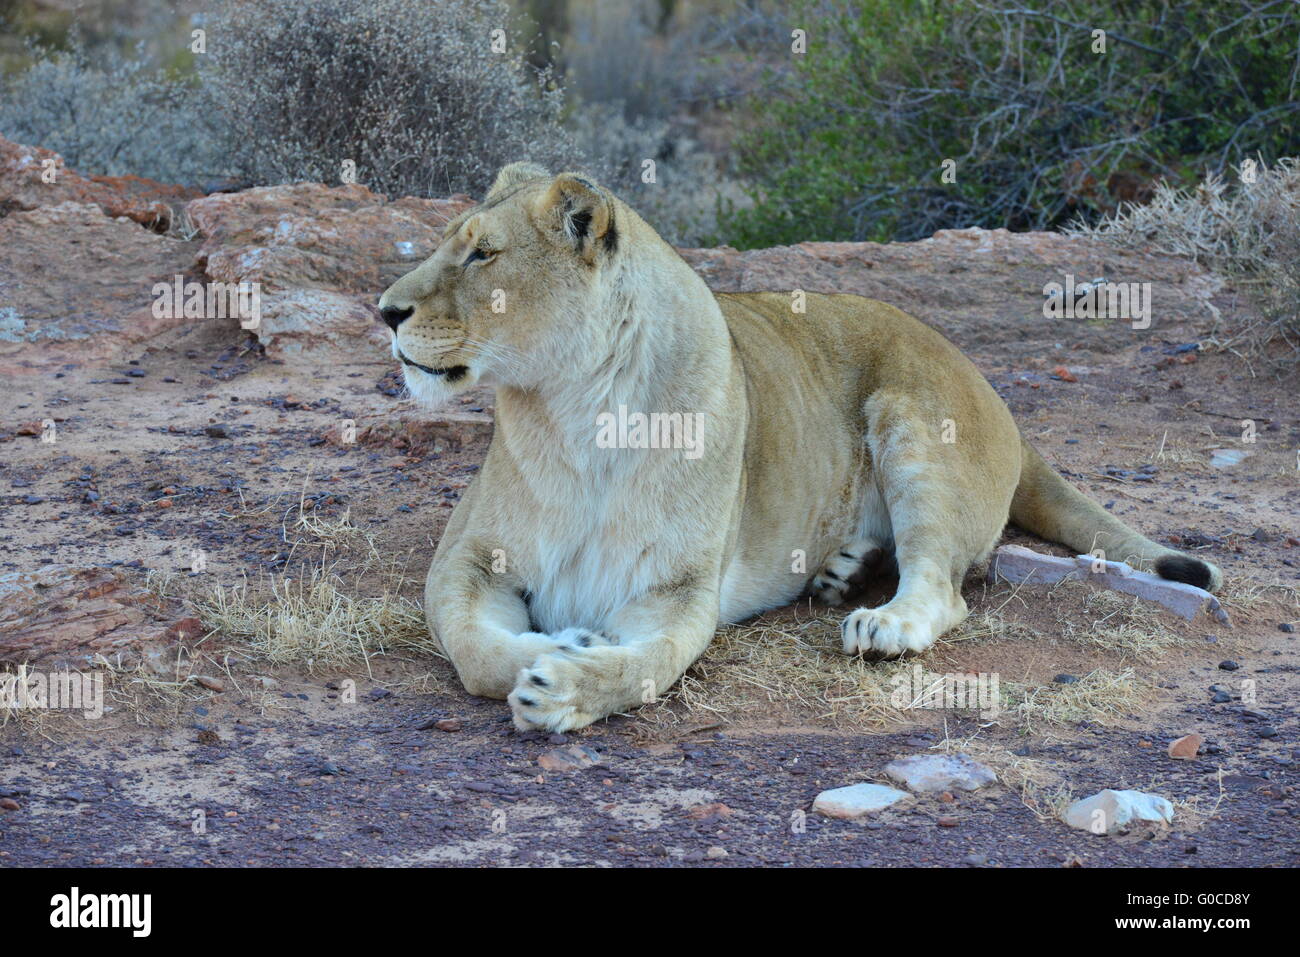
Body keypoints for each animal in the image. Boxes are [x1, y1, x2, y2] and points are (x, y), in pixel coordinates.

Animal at [377, 161, 1221, 732]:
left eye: (483, 254)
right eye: (453, 244)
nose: (384, 311)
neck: (579, 409)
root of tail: (996, 394)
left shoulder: (680, 589)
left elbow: (649, 663)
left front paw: (567, 683)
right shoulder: (464, 557)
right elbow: (475, 649)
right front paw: (562, 644)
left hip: (909, 416)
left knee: (943, 583)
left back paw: (880, 619)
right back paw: (842, 569)